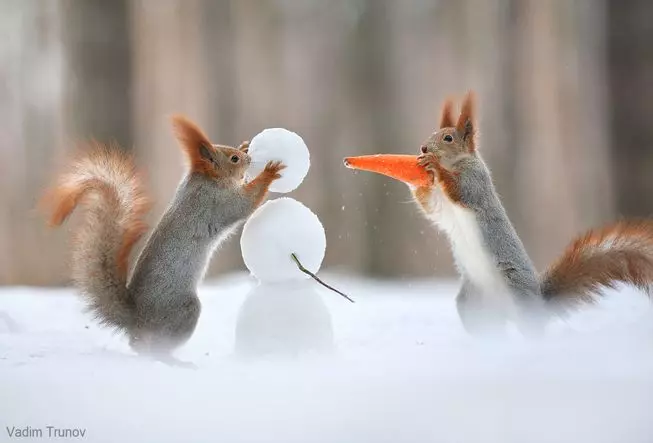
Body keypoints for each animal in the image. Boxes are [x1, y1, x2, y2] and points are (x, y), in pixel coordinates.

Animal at [41, 116, 286, 366]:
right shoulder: (217, 203)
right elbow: (245, 203)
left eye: (236, 152)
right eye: (234, 159)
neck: (206, 179)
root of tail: (137, 319)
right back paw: (172, 360)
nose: (248, 157)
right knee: (151, 348)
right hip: (182, 312)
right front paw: (268, 172)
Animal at [412, 91, 652, 336]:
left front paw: (434, 166)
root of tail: (540, 306)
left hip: (517, 294)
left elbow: (460, 191)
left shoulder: (475, 180)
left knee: (531, 330)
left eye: (448, 138)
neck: (454, 164)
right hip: (472, 302)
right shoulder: (441, 205)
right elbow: (429, 206)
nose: (423, 148)